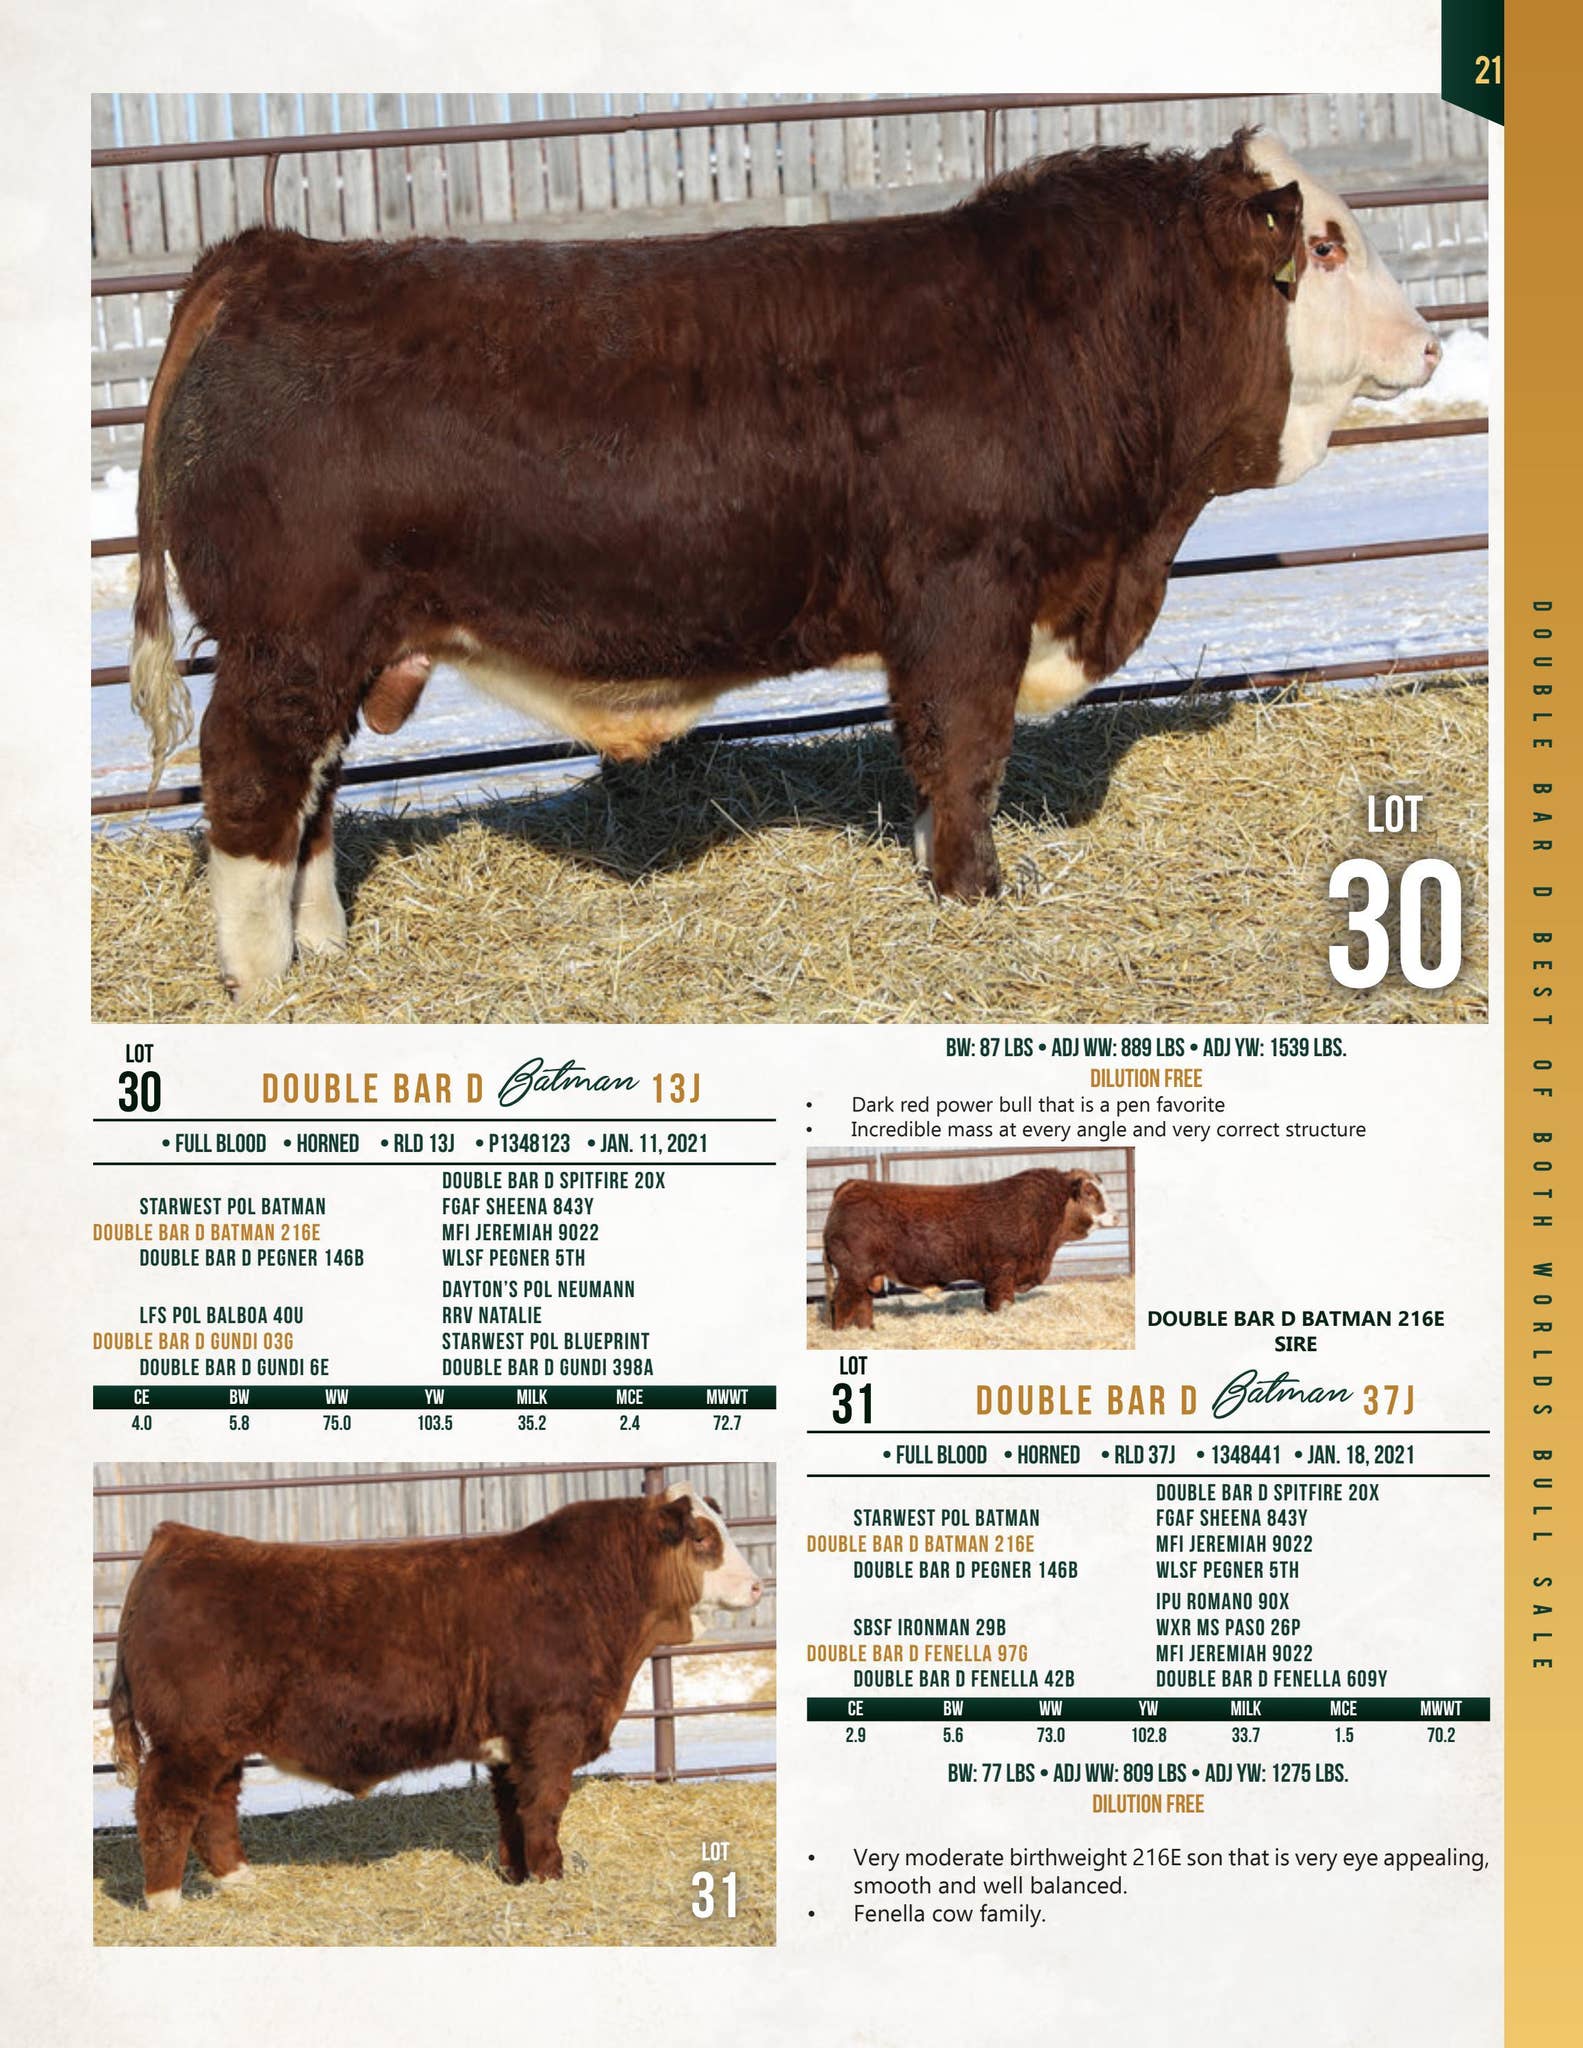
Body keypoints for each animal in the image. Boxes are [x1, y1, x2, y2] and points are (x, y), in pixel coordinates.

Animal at [107, 1485, 762, 1910]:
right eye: (702, 1537)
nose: (757, 1586)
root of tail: (177, 1540)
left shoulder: (510, 1743)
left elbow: (512, 1809)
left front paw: (516, 1874)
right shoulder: (551, 1731)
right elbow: (545, 1806)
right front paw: (552, 1878)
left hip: (219, 1741)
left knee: (215, 1806)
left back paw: (241, 1881)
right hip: (187, 1740)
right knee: (165, 1807)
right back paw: (165, 1901)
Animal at [127, 130, 1440, 998]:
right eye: (1325, 244)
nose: (1430, 342)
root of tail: (271, 256)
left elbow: (929, 759)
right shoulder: (968, 595)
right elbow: (965, 754)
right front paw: (972, 895)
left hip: (343, 649)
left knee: (312, 795)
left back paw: (324, 947)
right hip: (284, 641)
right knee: (248, 788)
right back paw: (263, 980)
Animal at [822, 1166, 1118, 1330]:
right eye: (1091, 1193)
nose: (1117, 1216)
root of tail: (853, 1185)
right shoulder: (1002, 1272)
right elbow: (1001, 1304)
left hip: (864, 1275)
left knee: (863, 1303)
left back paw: (868, 1330)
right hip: (852, 1272)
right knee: (842, 1303)